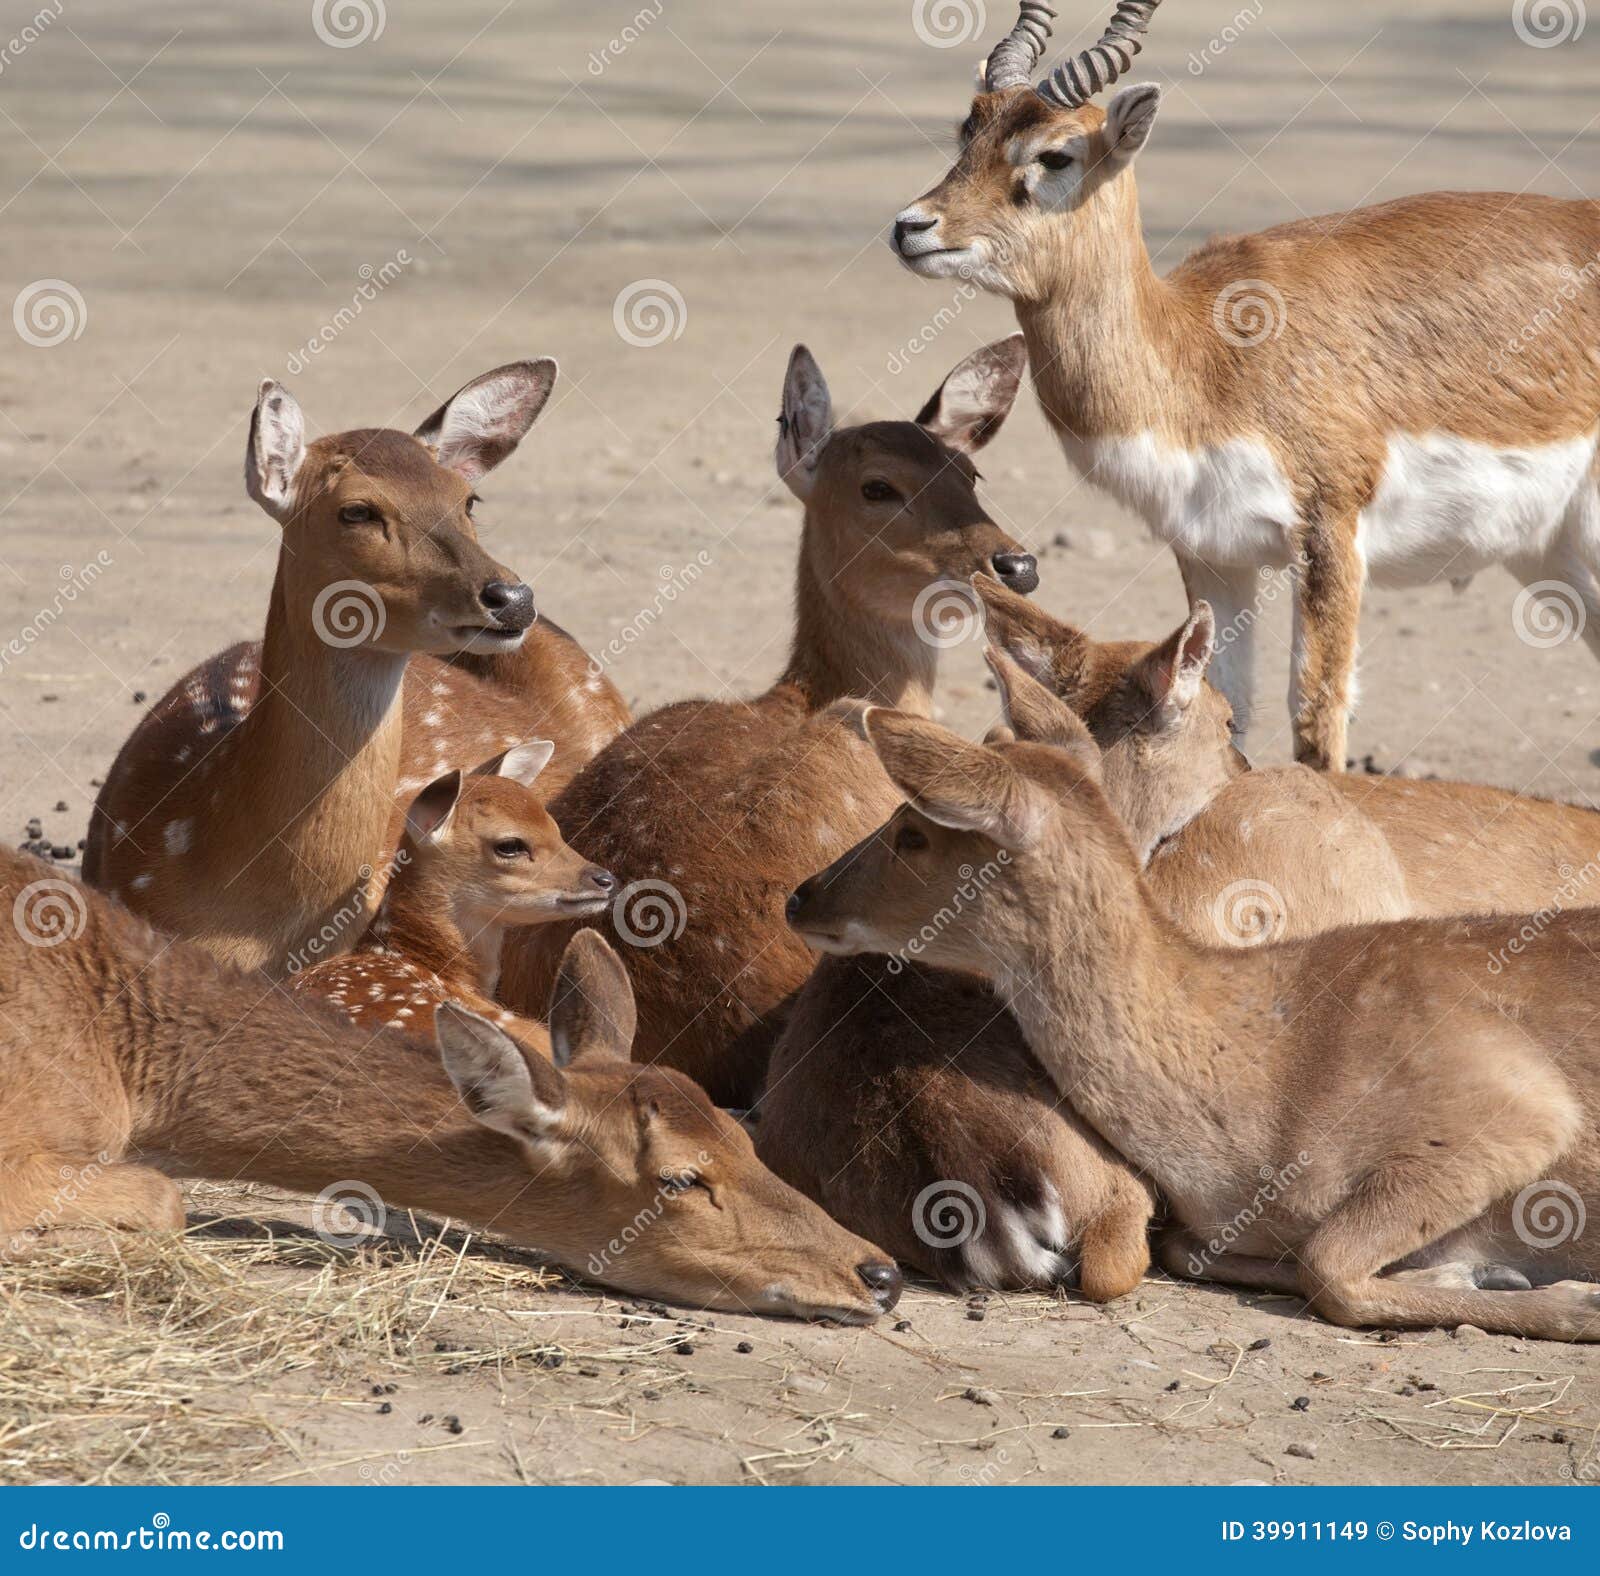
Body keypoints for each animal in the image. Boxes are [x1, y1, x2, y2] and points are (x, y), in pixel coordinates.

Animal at [786, 685, 1600, 1342]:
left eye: (913, 831)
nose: (801, 895)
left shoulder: (1511, 1104)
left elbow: (1327, 1266)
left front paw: (1572, 1302)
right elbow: (1216, 1252)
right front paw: (1475, 1273)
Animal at [891, 0, 1600, 770]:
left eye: (1055, 154)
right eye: (968, 130)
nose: (912, 227)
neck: (1202, 356)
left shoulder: (1331, 531)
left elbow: (1316, 715)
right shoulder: (1212, 551)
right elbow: (1221, 701)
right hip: (1553, 552)